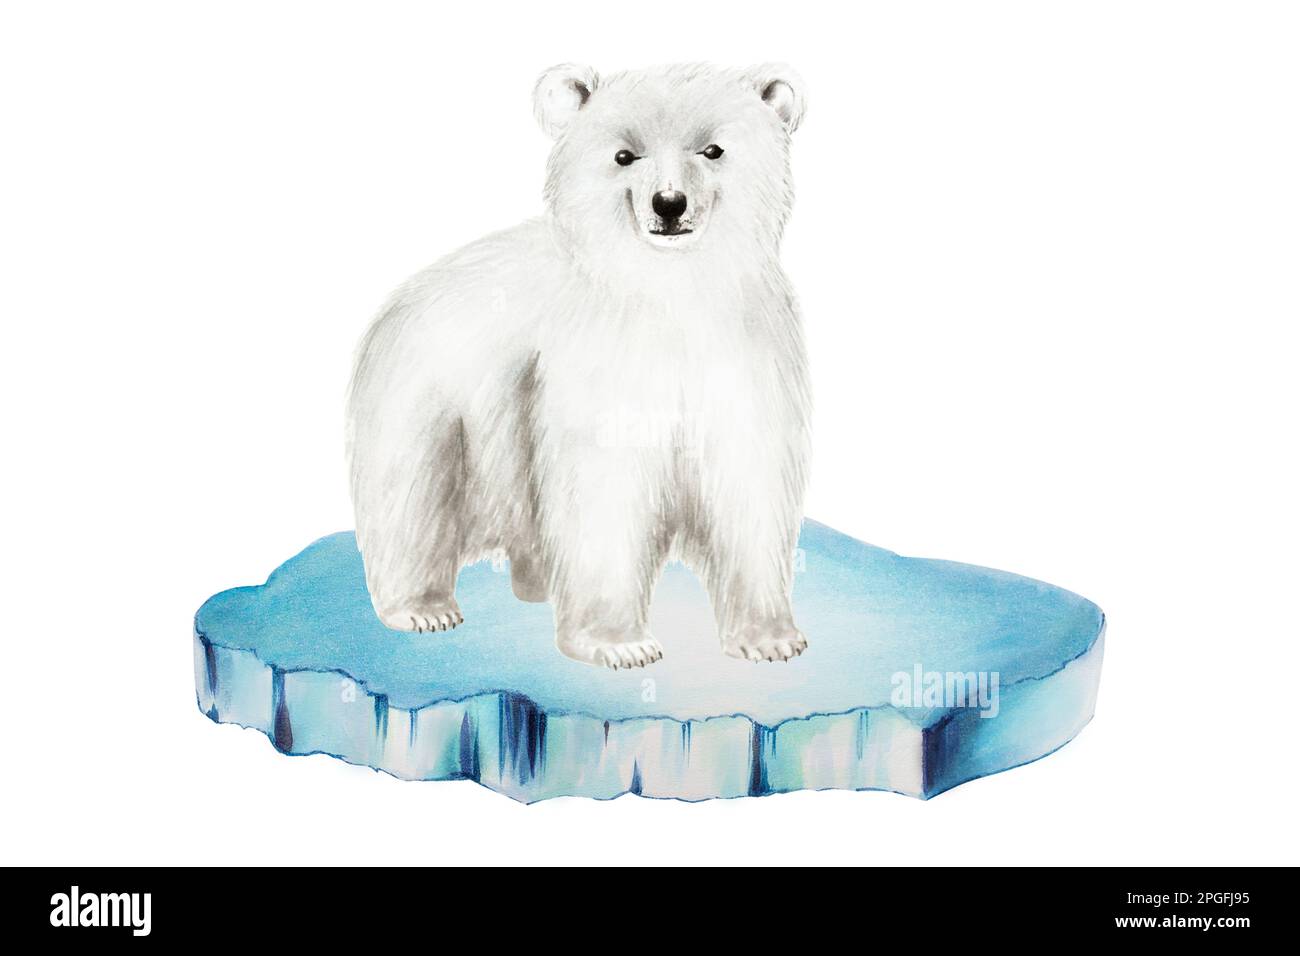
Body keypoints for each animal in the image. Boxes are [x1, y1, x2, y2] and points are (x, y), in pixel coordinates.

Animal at [346, 62, 811, 668]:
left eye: (713, 149)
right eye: (624, 155)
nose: (668, 203)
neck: (673, 292)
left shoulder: (743, 361)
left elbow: (748, 488)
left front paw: (770, 638)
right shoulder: (597, 369)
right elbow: (604, 491)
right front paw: (620, 644)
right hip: (431, 397)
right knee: (411, 501)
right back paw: (424, 608)